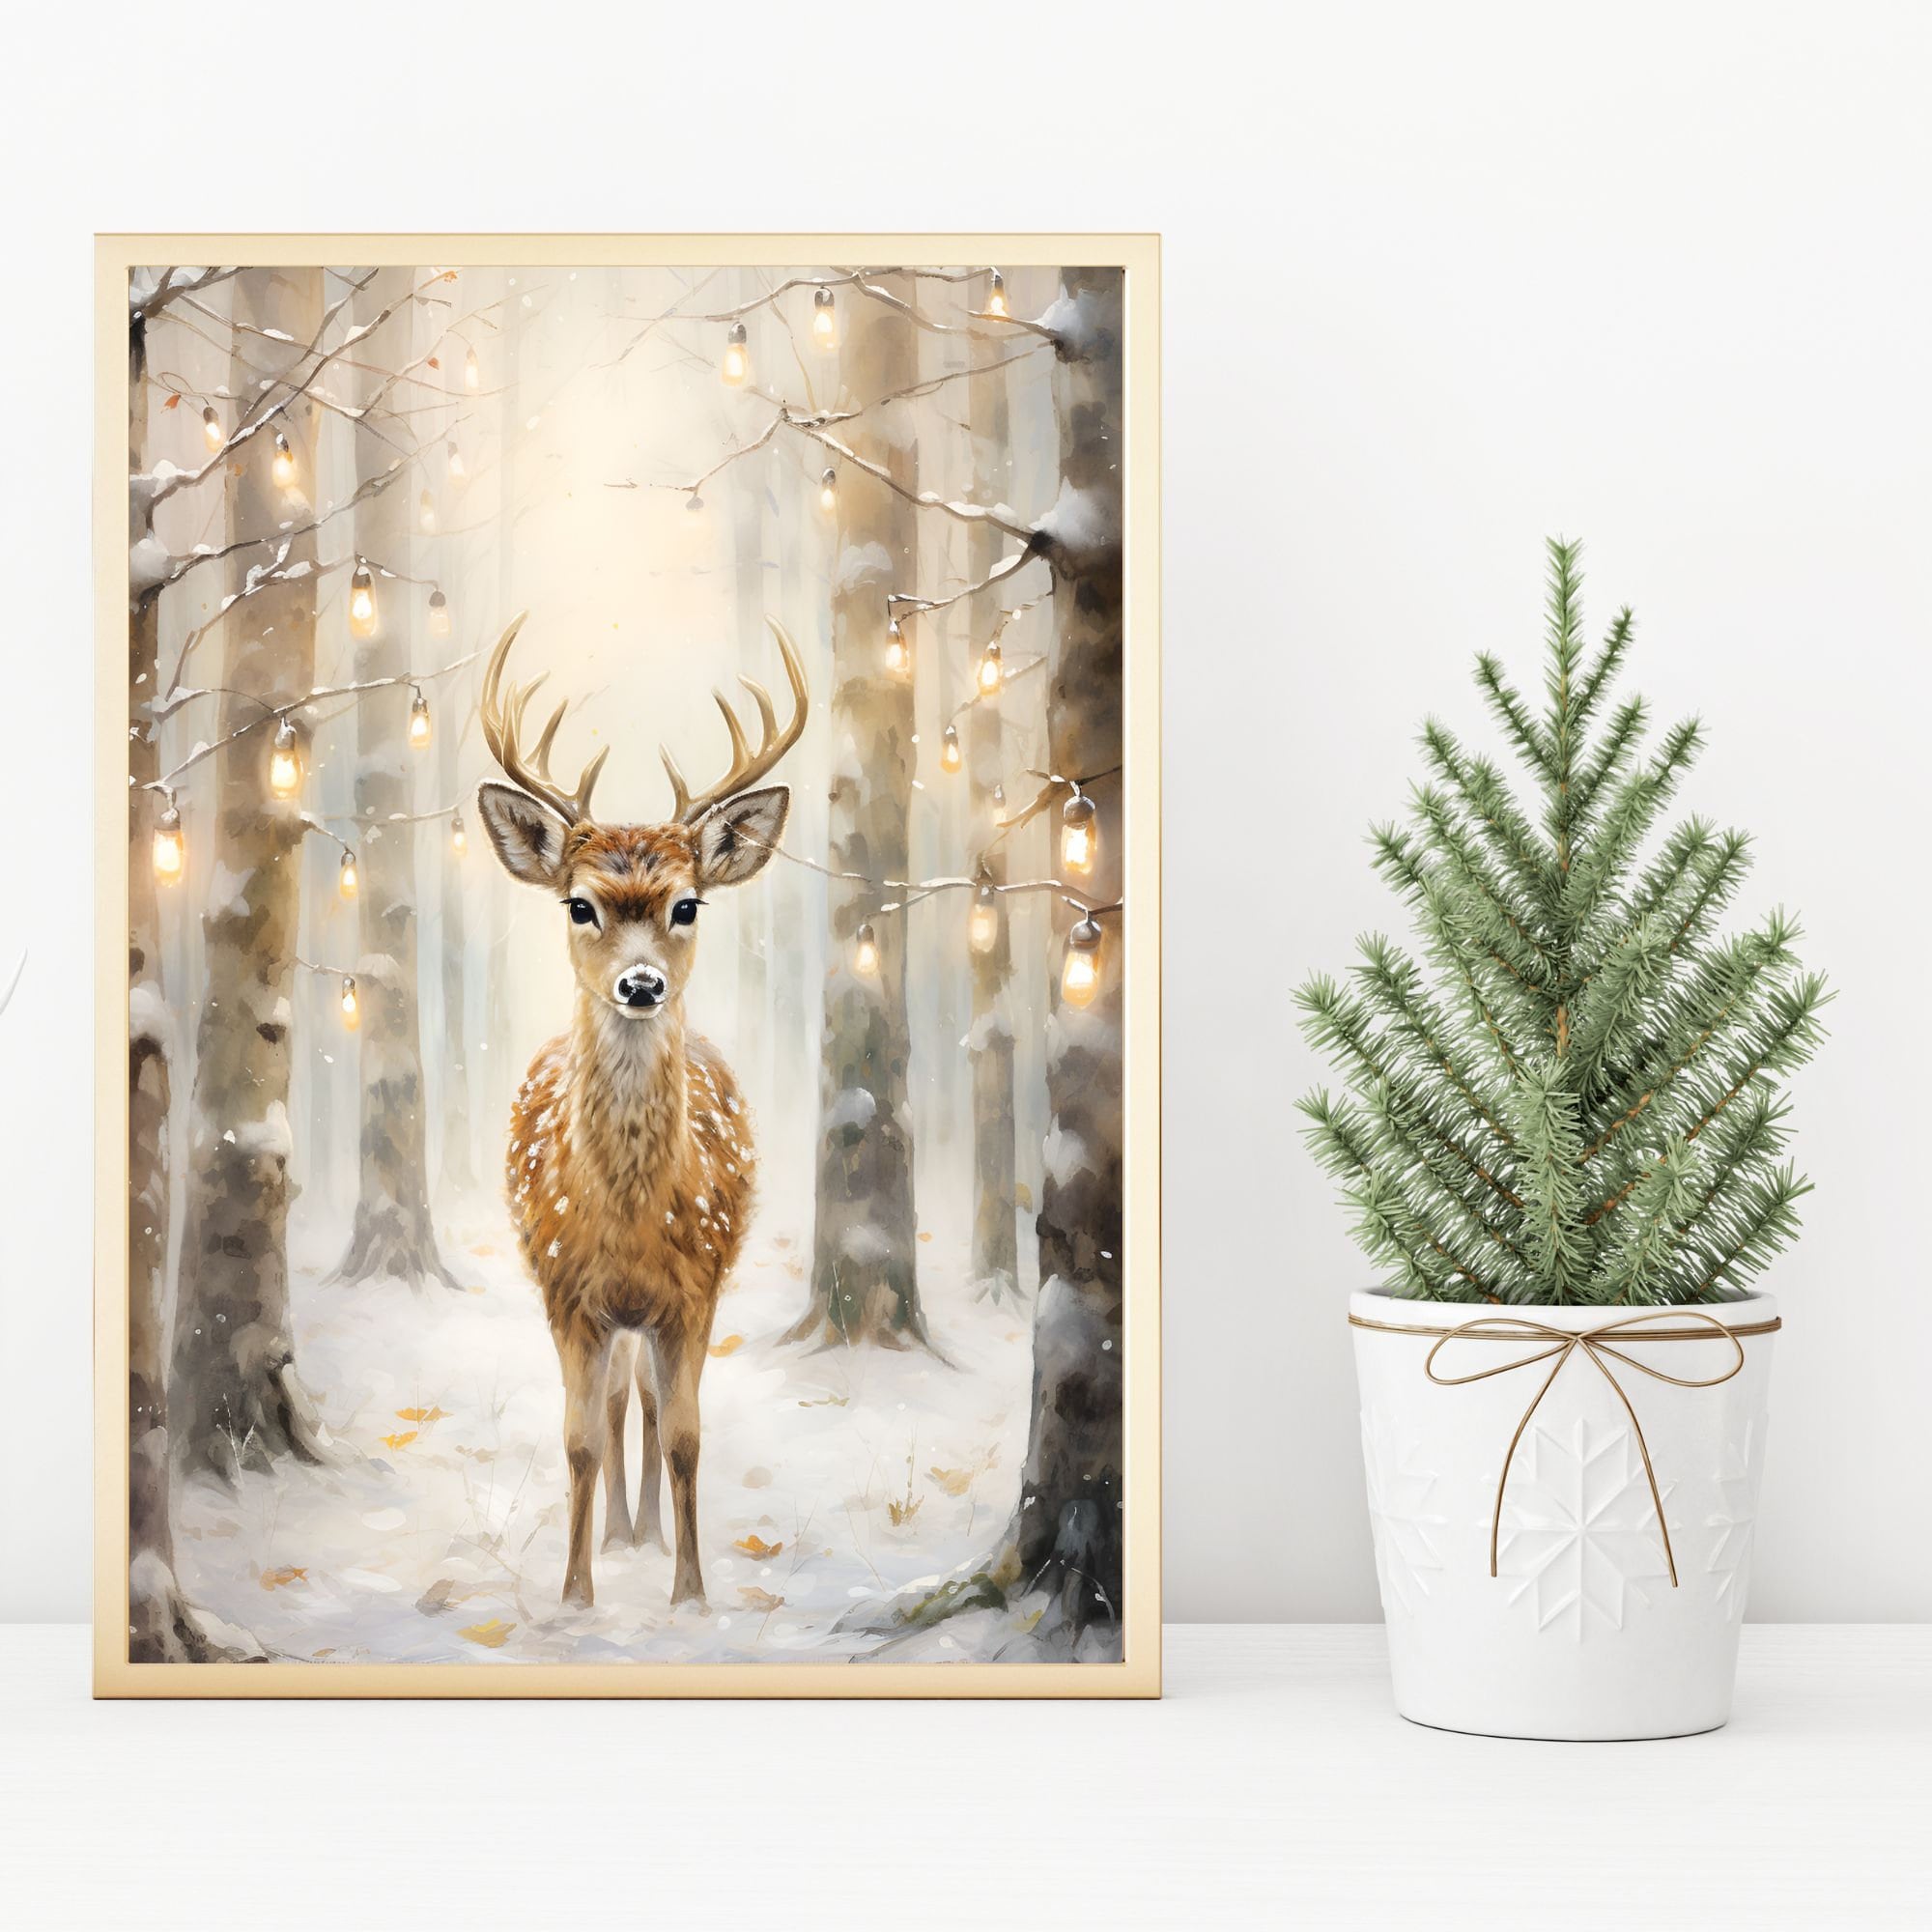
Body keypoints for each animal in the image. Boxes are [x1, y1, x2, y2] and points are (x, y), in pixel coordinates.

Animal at [474, 612, 805, 1611]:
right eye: (579, 905)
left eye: (686, 904)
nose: (642, 983)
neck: (627, 1217)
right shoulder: (567, 1292)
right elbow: (581, 1440)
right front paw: (576, 1595)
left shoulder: (694, 1291)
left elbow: (688, 1436)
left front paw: (689, 1594)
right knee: (622, 1402)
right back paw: (621, 1534)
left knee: (653, 1406)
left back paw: (648, 1535)